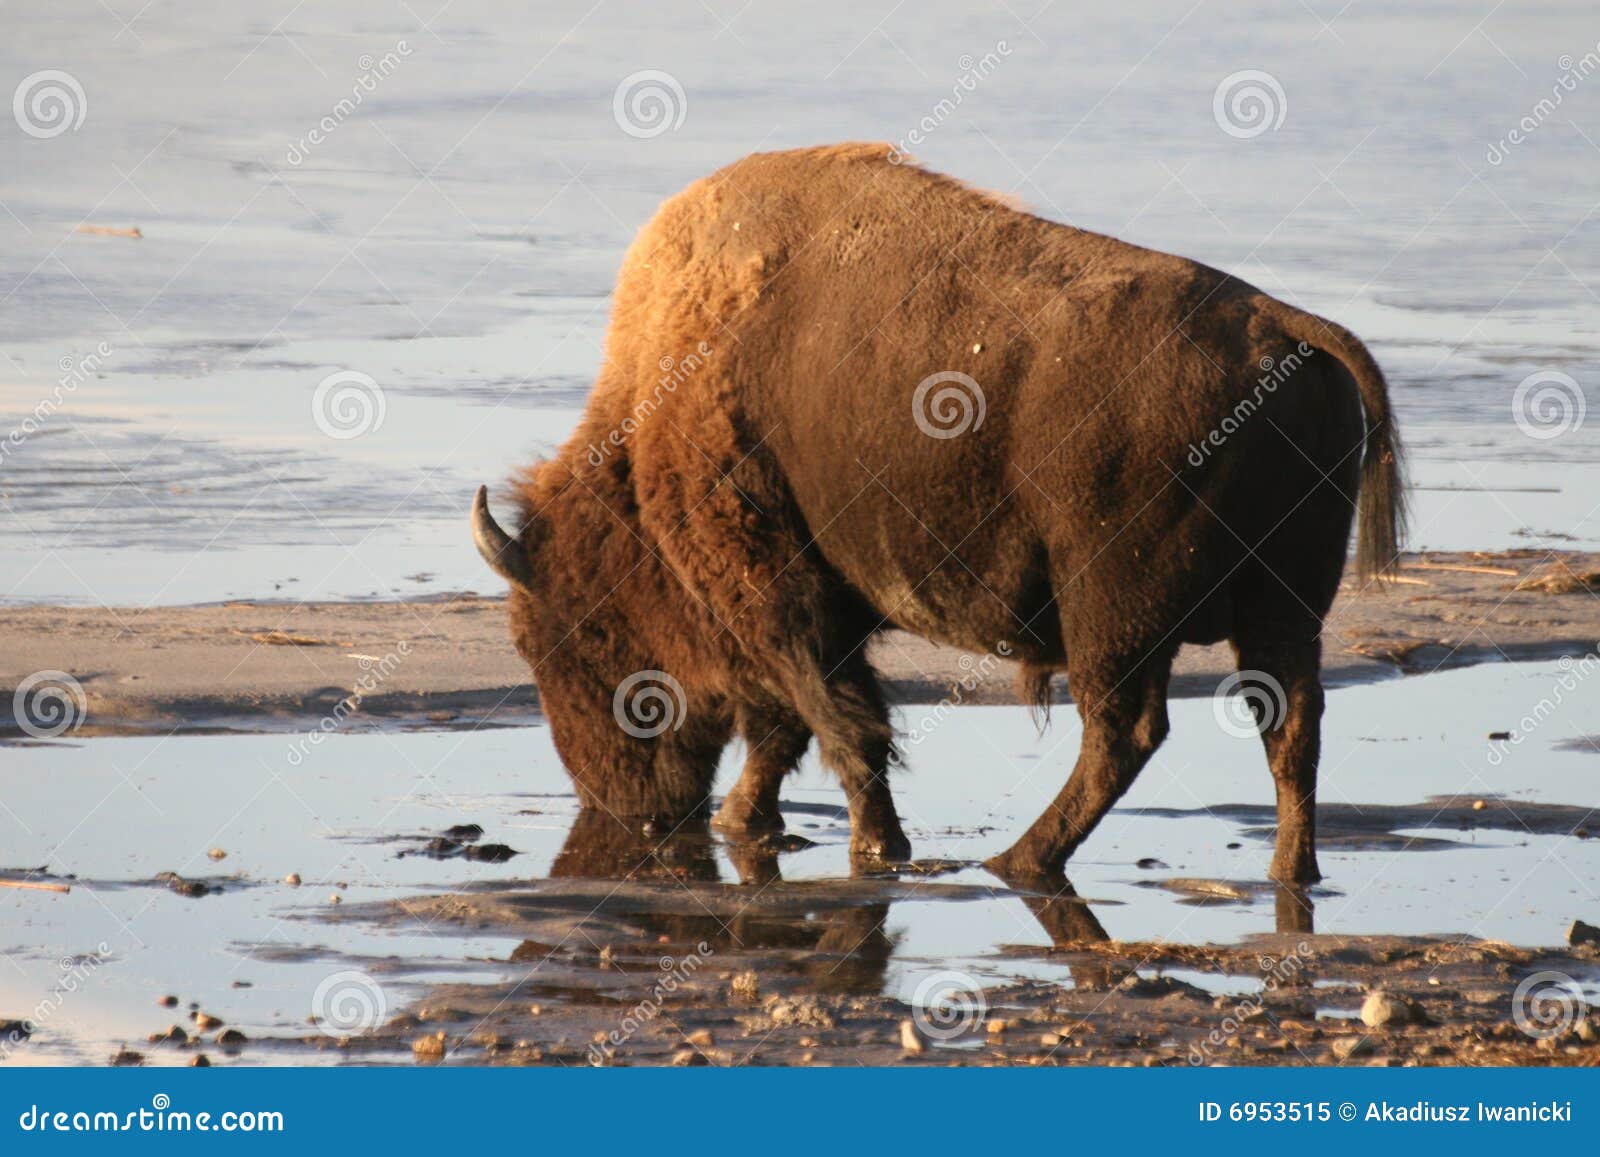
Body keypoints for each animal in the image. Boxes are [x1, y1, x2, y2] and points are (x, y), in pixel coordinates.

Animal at [472, 143, 1403, 886]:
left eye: (569, 639)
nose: (622, 804)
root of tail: (1287, 328)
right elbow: (797, 722)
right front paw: (752, 819)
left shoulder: (781, 601)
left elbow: (839, 721)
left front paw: (875, 845)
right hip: (1279, 613)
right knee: (1288, 725)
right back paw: (1290, 868)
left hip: (1113, 614)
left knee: (1125, 732)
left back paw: (1020, 857)